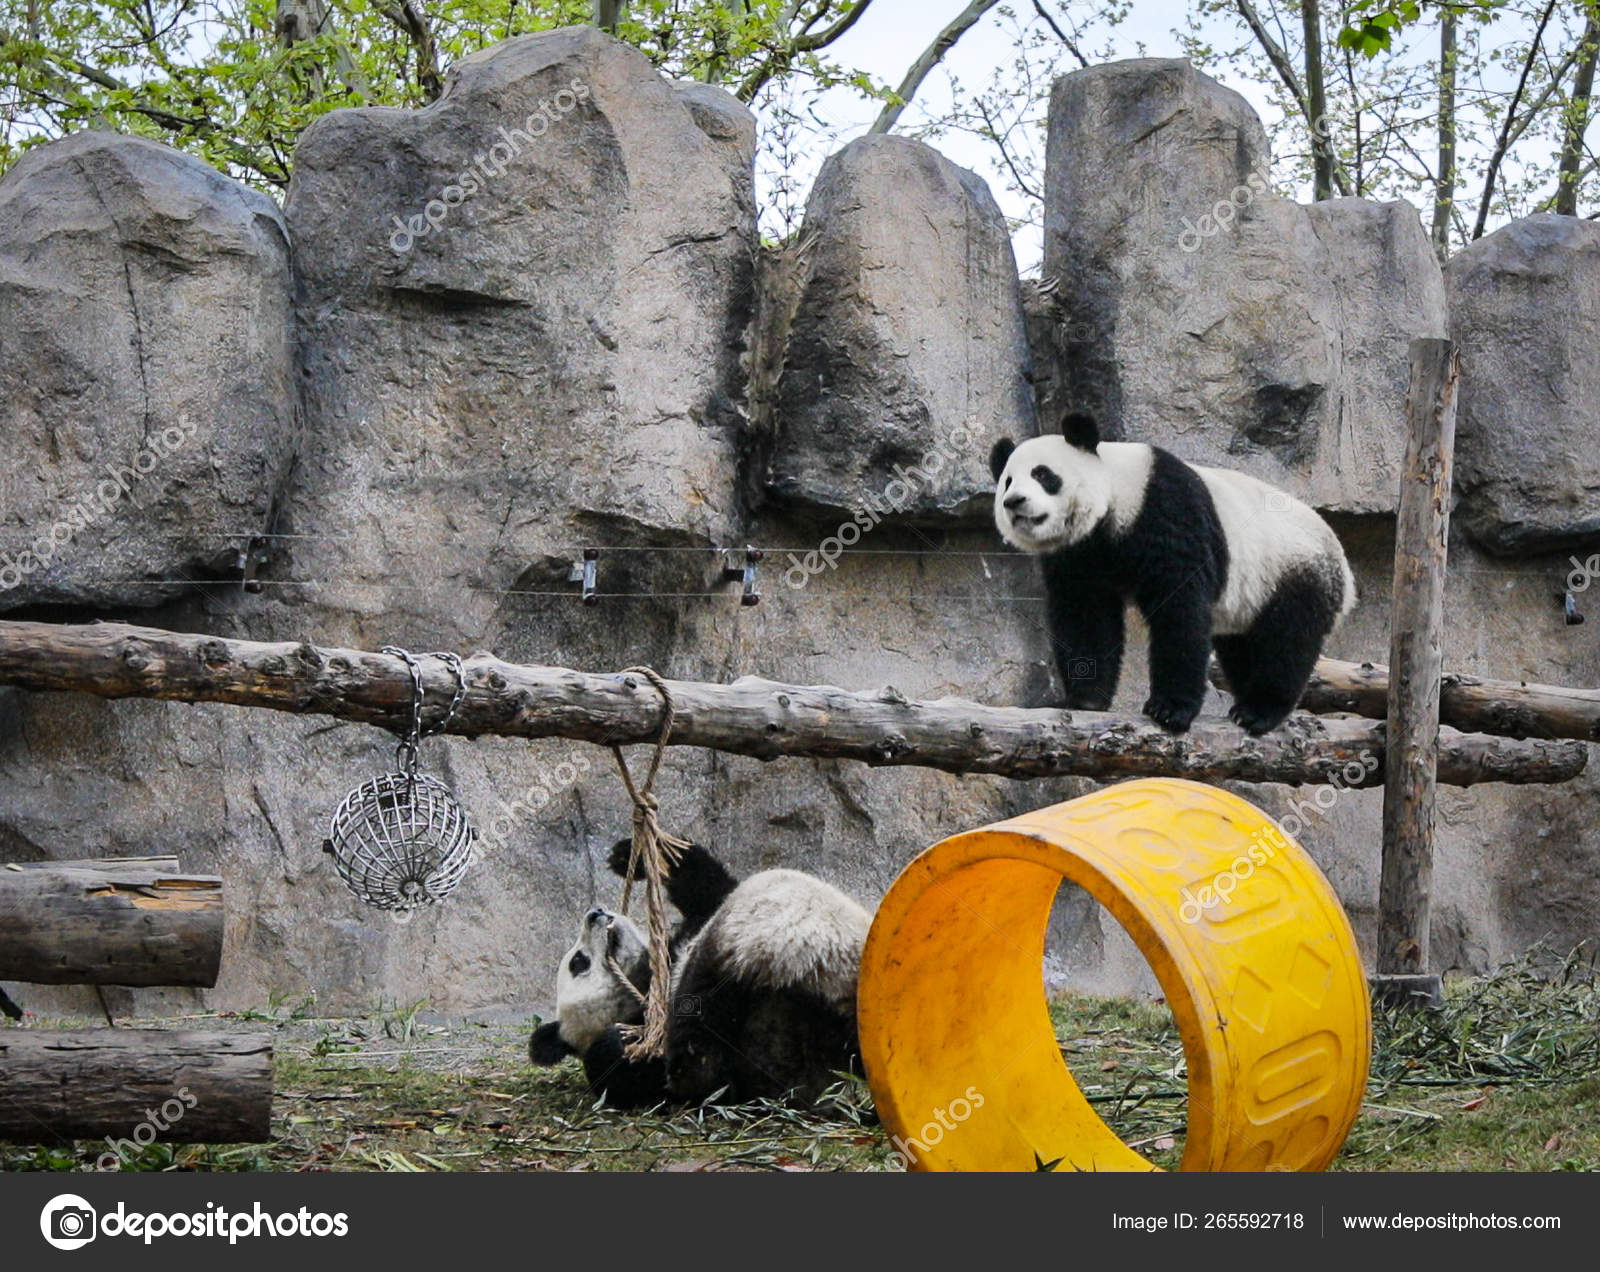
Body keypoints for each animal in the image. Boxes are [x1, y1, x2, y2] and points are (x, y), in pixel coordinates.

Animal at [529, 838, 871, 1108]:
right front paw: (618, 1043)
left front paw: (632, 855)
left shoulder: (685, 935)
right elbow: (657, 1081)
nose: (595, 913)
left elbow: (709, 888)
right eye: (578, 962)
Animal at [989, 410, 1355, 736]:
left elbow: (1179, 609)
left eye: (1043, 475)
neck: (1117, 500)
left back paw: (1259, 710)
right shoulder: (1079, 553)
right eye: (1007, 481)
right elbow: (1085, 615)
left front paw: (1170, 708)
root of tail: (1345, 570)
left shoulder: (1168, 512)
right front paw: (1086, 699)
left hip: (1294, 568)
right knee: (1242, 647)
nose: (1015, 501)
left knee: (1286, 640)